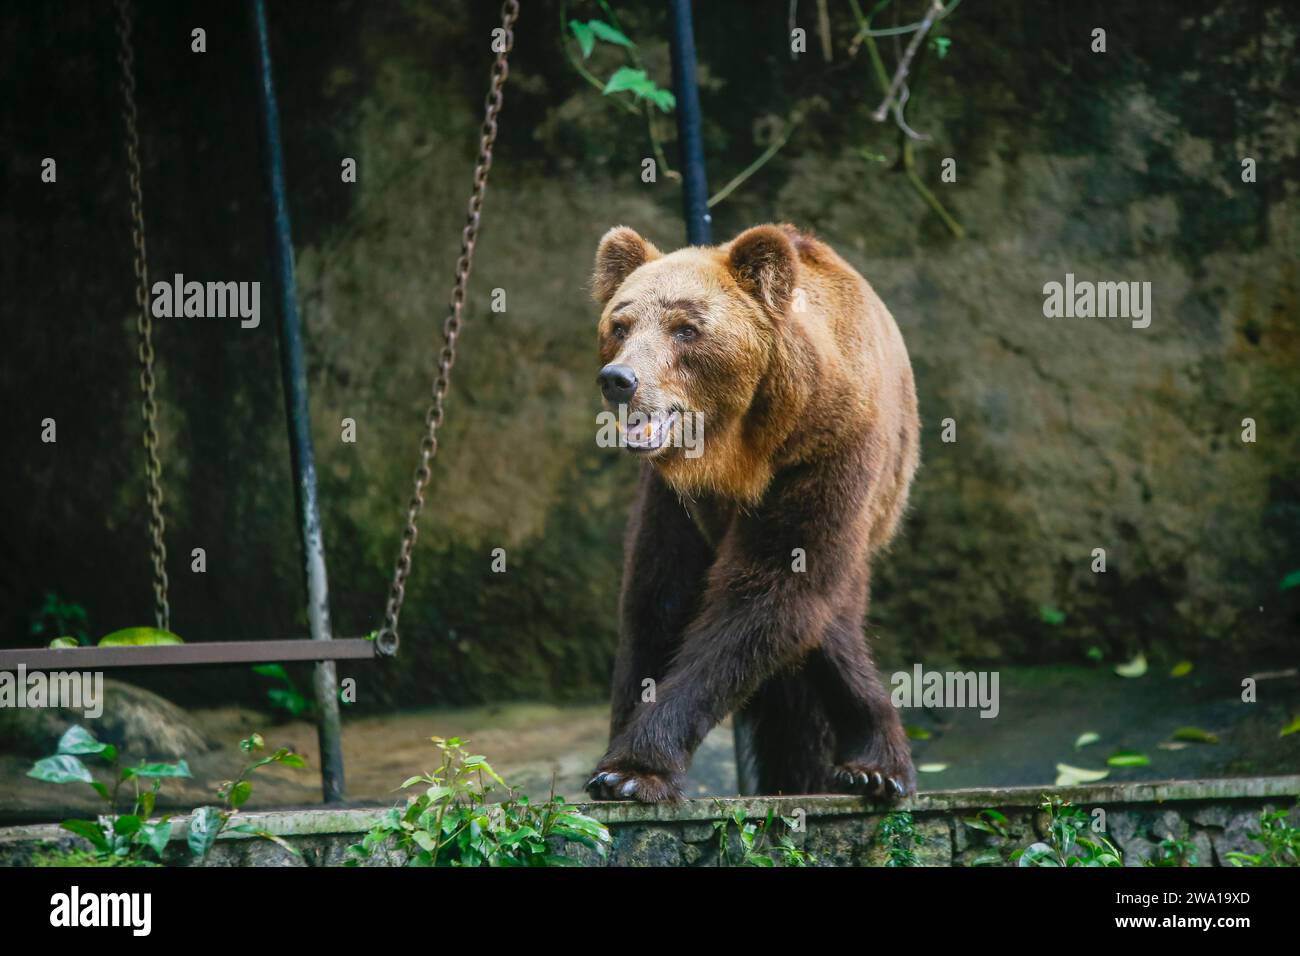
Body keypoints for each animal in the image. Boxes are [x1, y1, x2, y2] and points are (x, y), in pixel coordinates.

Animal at [586, 223, 920, 804]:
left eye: (686, 328)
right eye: (620, 324)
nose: (619, 379)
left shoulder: (827, 454)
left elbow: (774, 587)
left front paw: (634, 769)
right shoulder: (673, 502)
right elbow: (657, 600)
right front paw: (619, 759)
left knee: (832, 611)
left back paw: (873, 763)